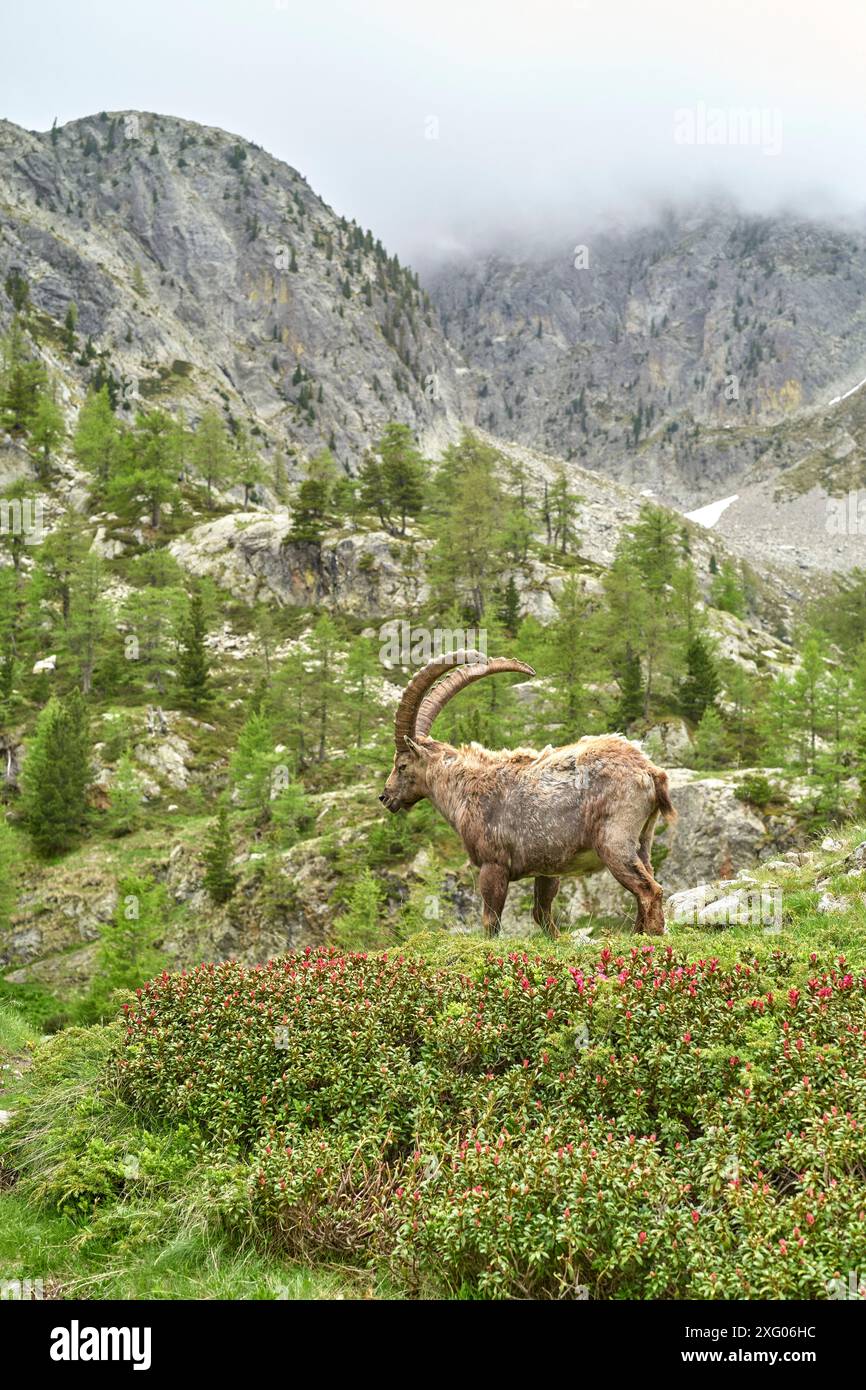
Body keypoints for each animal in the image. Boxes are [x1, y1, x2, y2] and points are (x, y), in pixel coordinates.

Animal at [379, 649, 676, 937]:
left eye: (401, 765)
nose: (385, 797)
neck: (466, 788)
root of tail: (650, 771)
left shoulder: (493, 864)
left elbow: (491, 922)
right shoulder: (547, 867)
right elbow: (542, 914)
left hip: (614, 842)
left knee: (649, 890)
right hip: (643, 841)